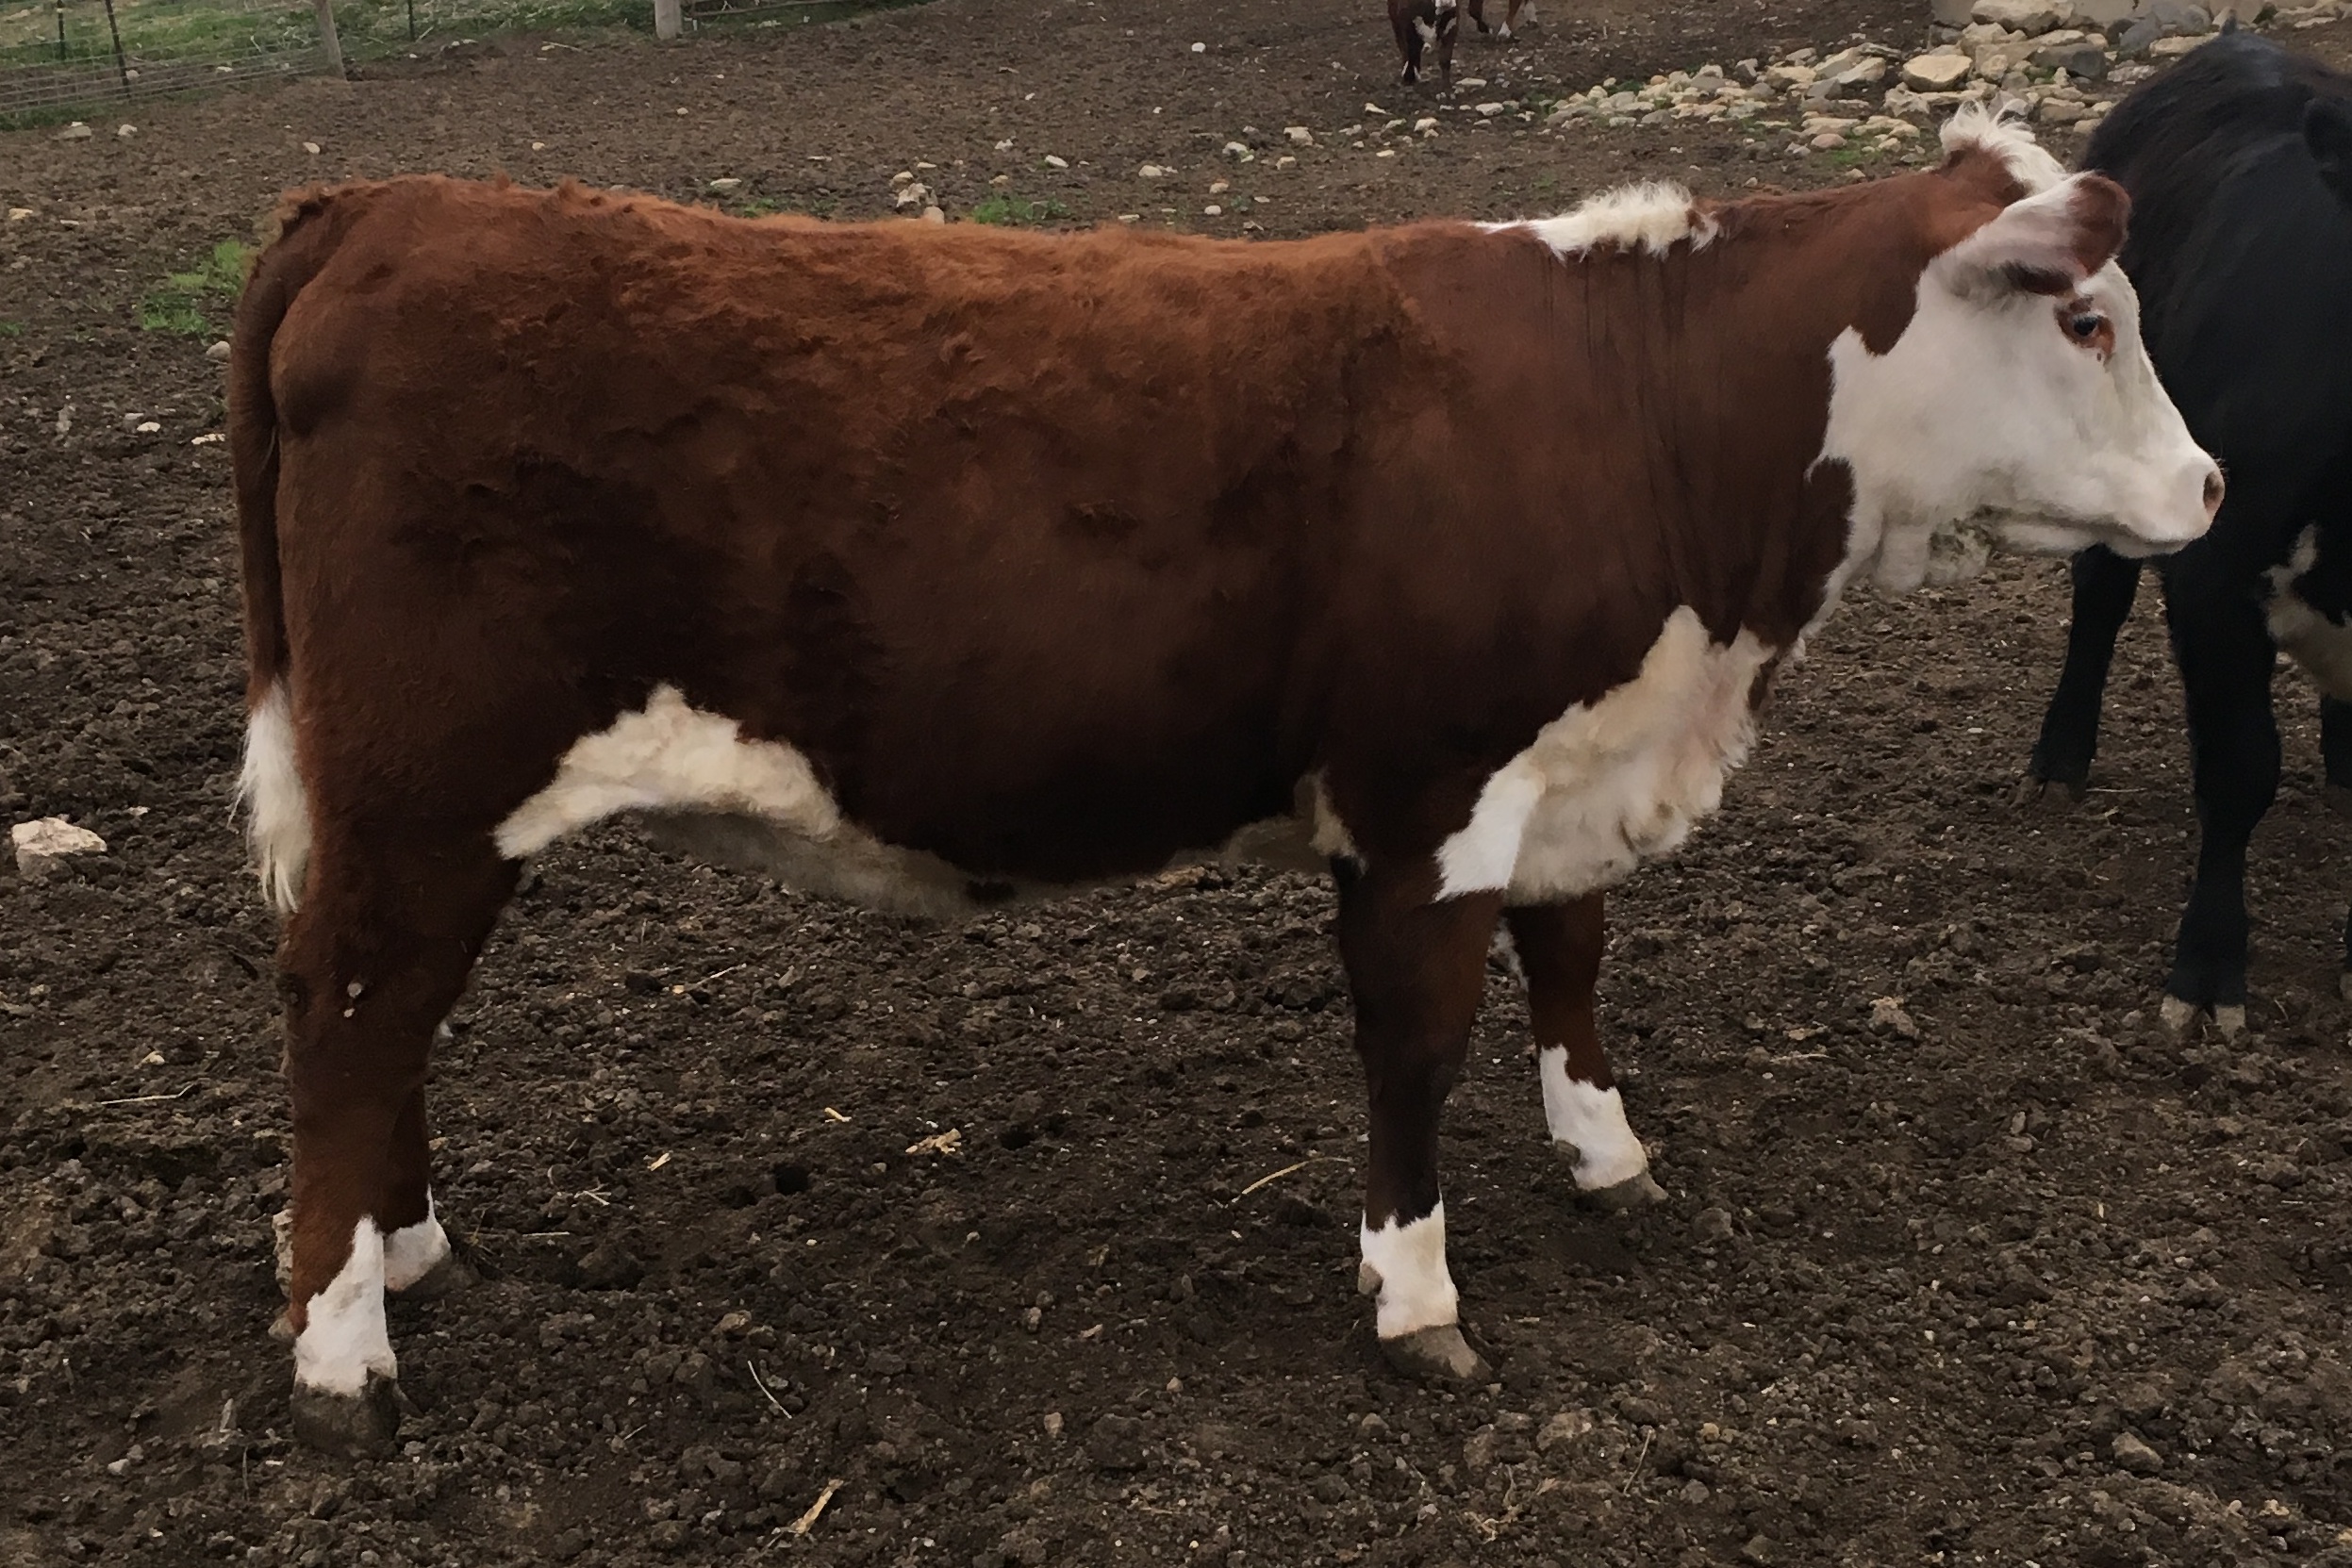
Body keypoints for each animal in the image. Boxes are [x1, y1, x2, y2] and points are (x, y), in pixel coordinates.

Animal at [229, 108, 2218, 1455]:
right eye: (2086, 322)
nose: (2203, 491)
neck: (1639, 414)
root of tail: (383, 204)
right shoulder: (1422, 796)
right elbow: (1417, 1040)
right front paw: (1413, 1296)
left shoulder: (1570, 762)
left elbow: (1571, 962)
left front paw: (1606, 1154)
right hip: (422, 787)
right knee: (348, 1013)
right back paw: (340, 1344)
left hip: (414, 809)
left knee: (385, 1021)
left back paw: (405, 1250)